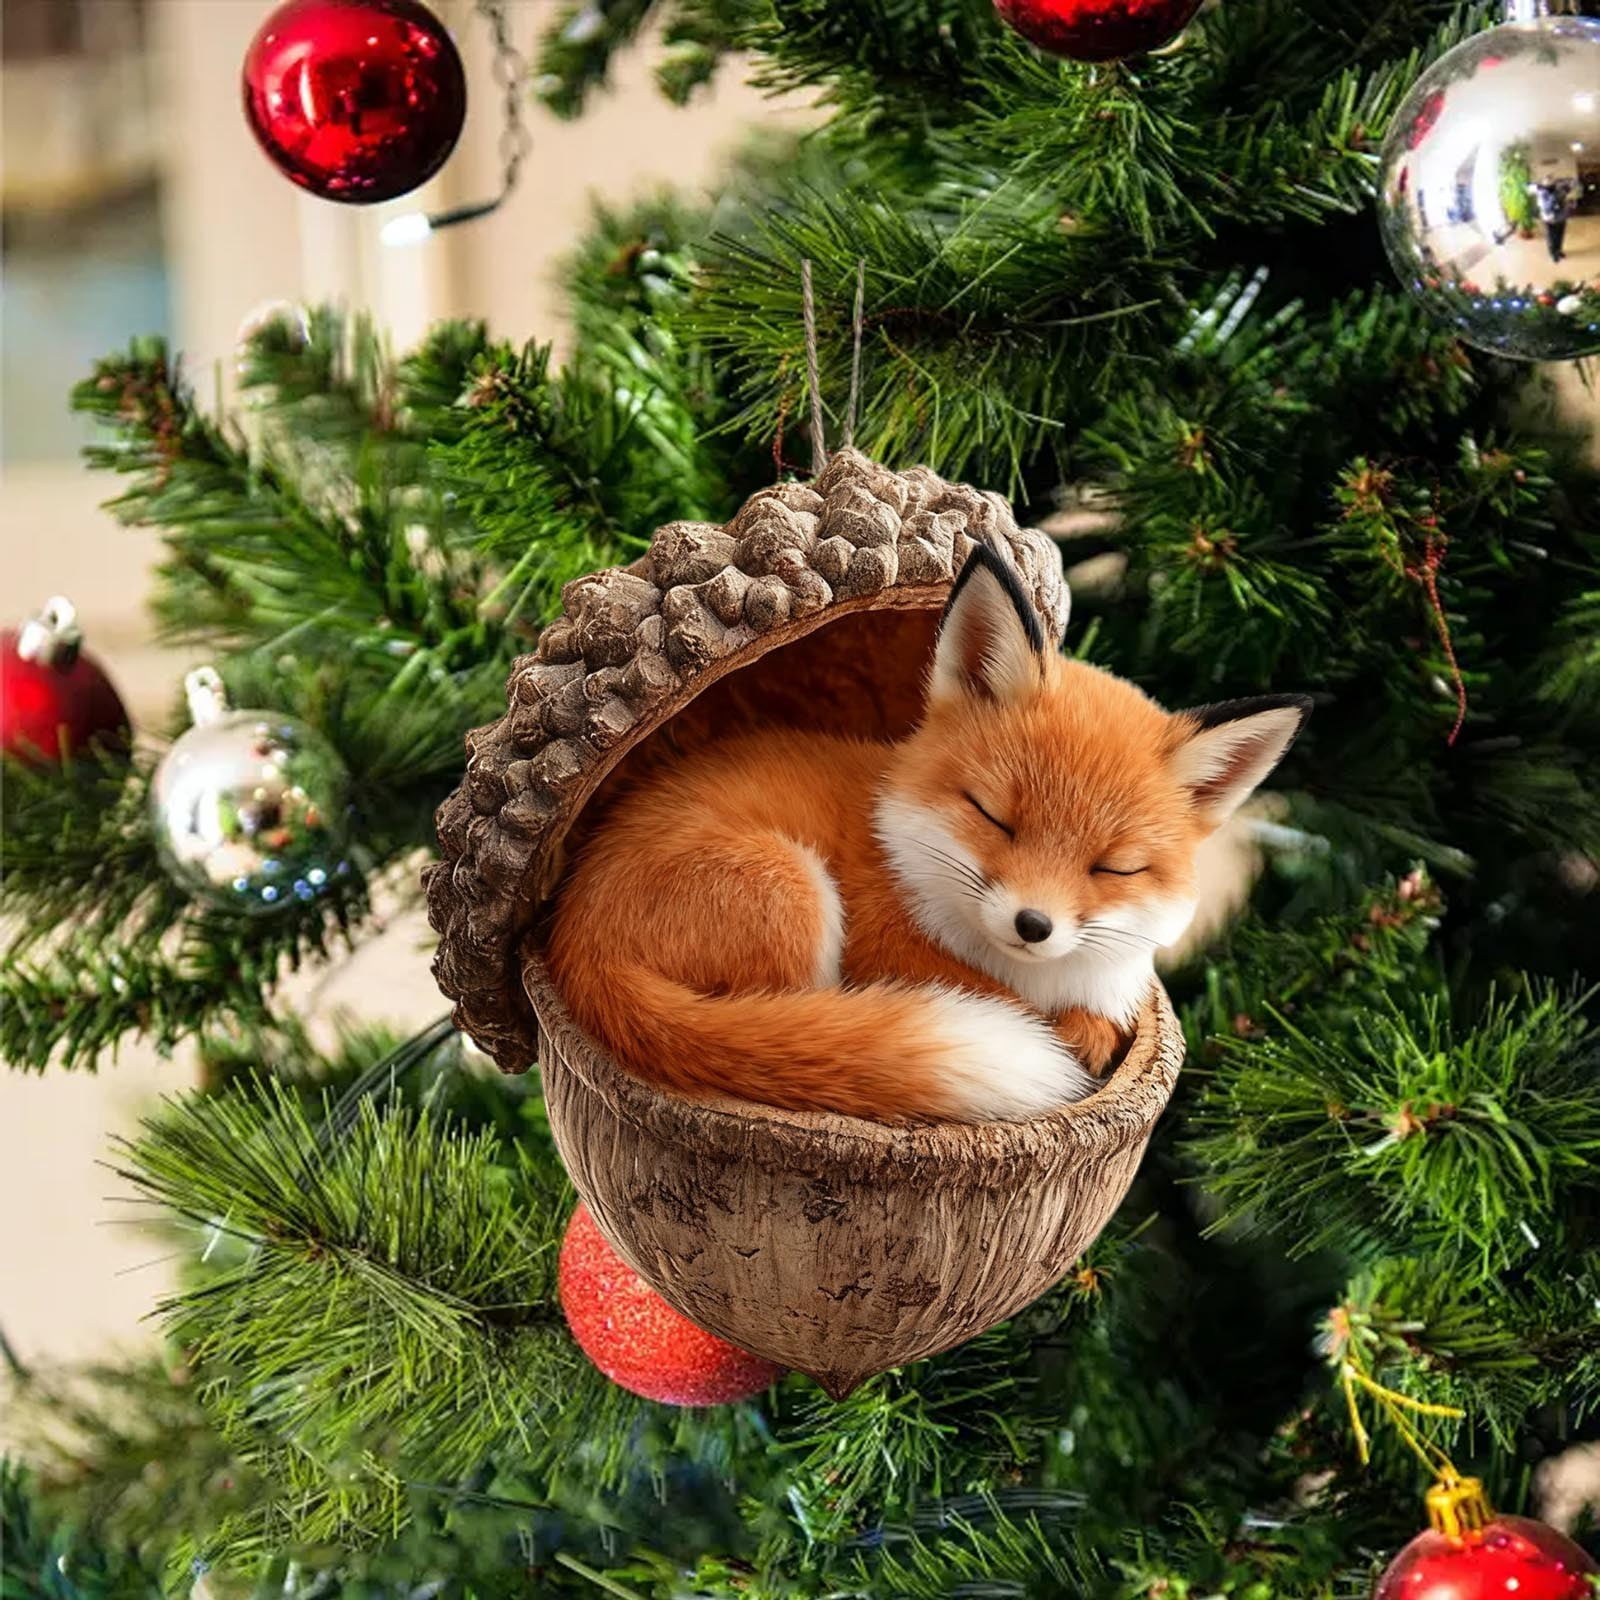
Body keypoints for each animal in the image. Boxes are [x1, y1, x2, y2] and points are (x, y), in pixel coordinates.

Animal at [546, 543, 1311, 1124]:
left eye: (1114, 867)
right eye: (994, 815)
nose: (1033, 924)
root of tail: (575, 947)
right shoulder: (889, 947)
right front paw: (1072, 1034)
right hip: (793, 894)